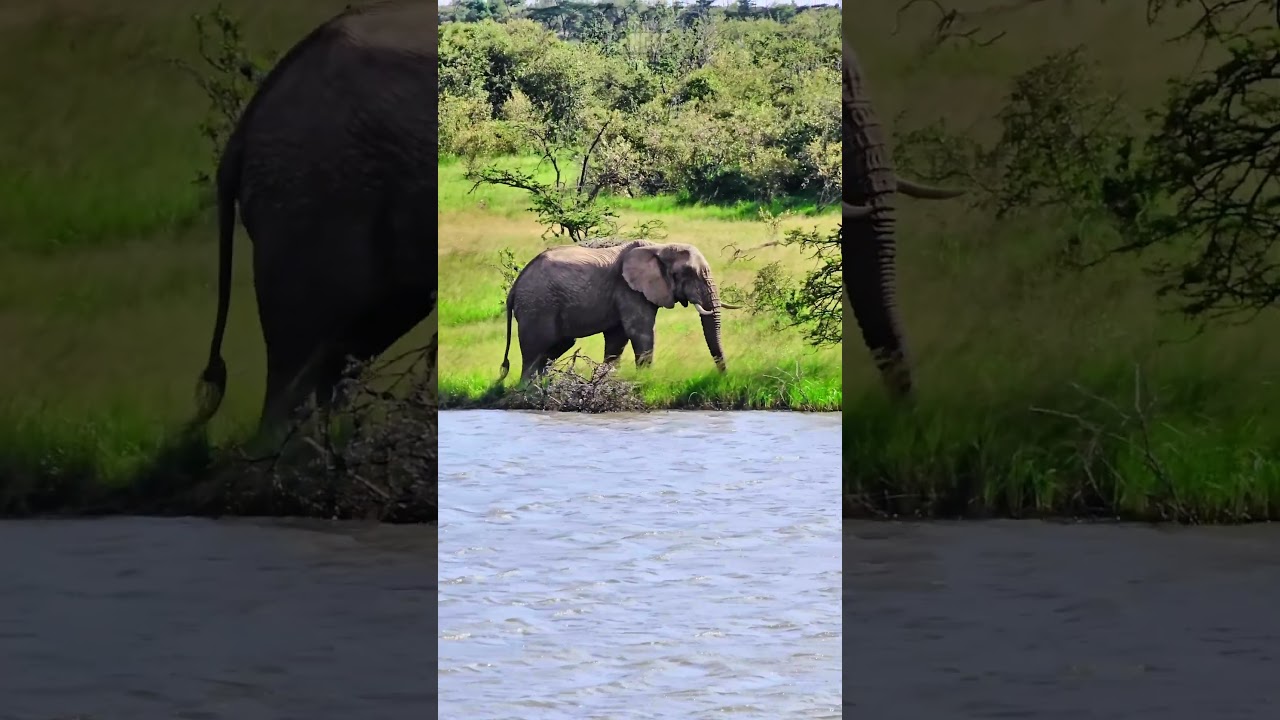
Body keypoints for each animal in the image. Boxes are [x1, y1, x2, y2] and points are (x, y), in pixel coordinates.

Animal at [497, 240, 732, 384]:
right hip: (537, 306)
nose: (723, 378)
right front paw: (645, 381)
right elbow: (640, 332)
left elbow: (617, 339)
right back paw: (528, 390)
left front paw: (610, 380)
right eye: (688, 273)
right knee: (535, 351)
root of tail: (515, 287)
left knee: (555, 347)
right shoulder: (628, 290)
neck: (660, 248)